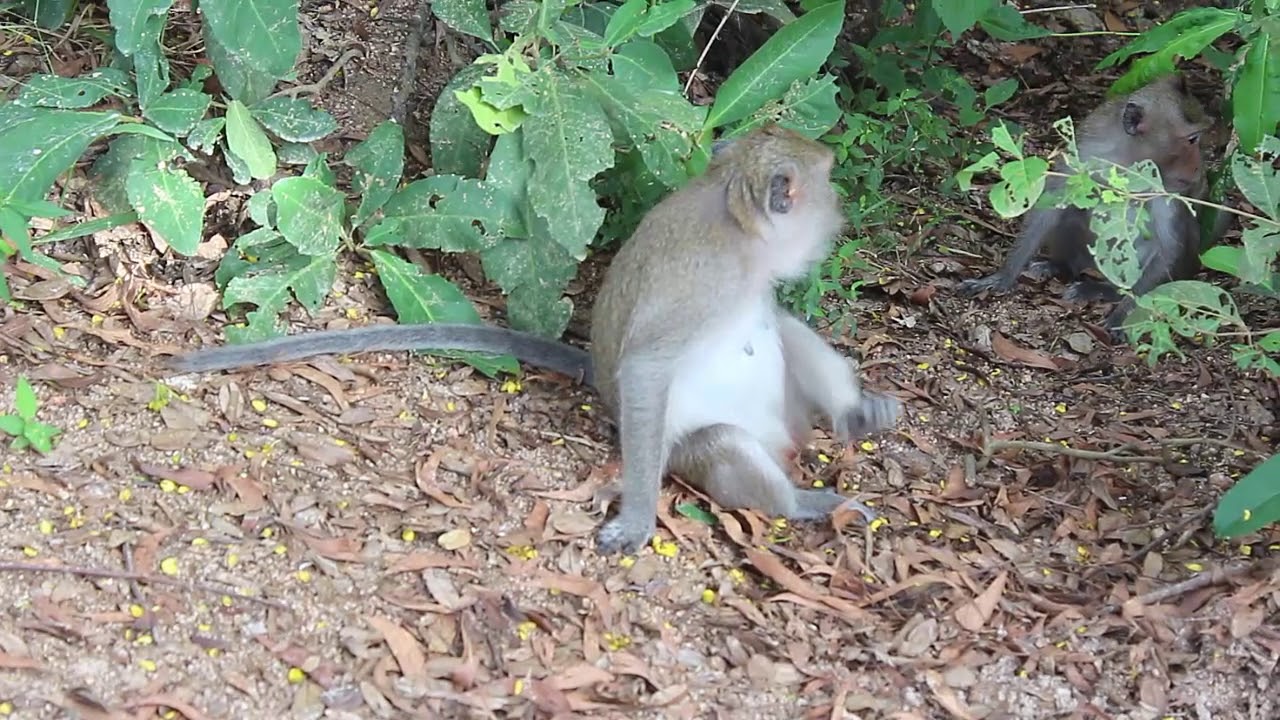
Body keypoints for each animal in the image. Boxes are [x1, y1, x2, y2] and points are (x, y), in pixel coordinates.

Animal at [168, 124, 902, 555]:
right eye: (827, 186)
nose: (839, 214)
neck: (736, 224)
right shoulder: (702, 284)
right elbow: (646, 367)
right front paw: (637, 516)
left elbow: (779, 323)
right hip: (702, 450)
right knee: (720, 441)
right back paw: (802, 504)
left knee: (783, 334)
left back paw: (850, 418)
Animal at [956, 74, 1231, 336]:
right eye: (1192, 139)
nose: (1198, 168)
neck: (1130, 160)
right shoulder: (1088, 150)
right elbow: (1051, 206)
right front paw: (1001, 277)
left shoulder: (1166, 186)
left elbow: (1168, 246)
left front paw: (1123, 318)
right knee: (1073, 216)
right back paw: (1059, 266)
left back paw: (1104, 291)